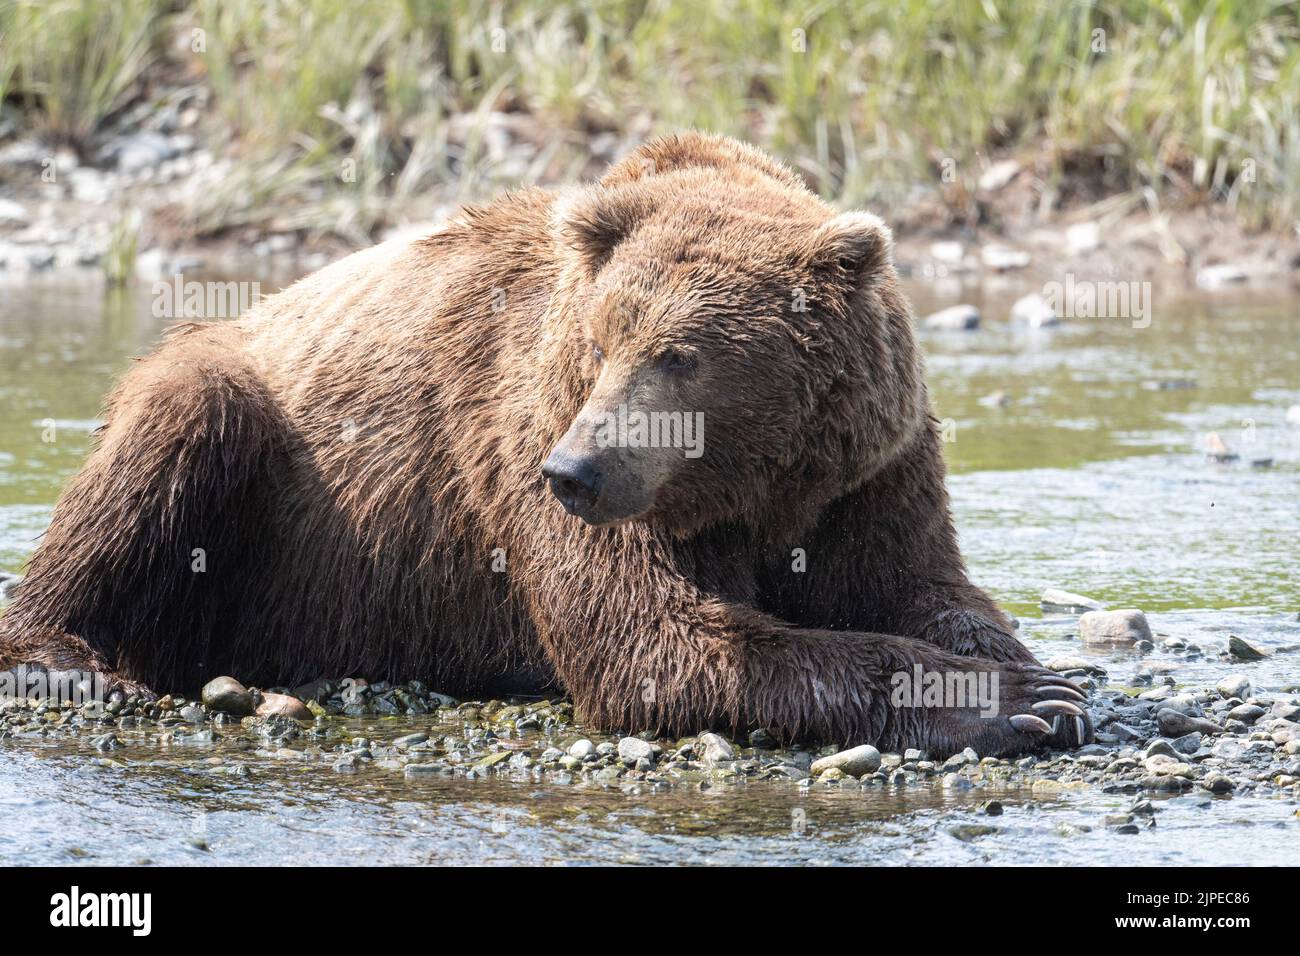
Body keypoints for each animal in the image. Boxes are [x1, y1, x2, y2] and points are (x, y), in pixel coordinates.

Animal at [0, 133, 1090, 757]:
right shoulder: (523, 421)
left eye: (679, 354)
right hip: (256, 438)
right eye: (604, 342)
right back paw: (68, 659)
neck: (756, 483)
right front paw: (1001, 700)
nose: (575, 472)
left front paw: (1043, 681)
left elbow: (924, 584)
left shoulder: (868, 468)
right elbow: (650, 634)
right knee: (170, 440)